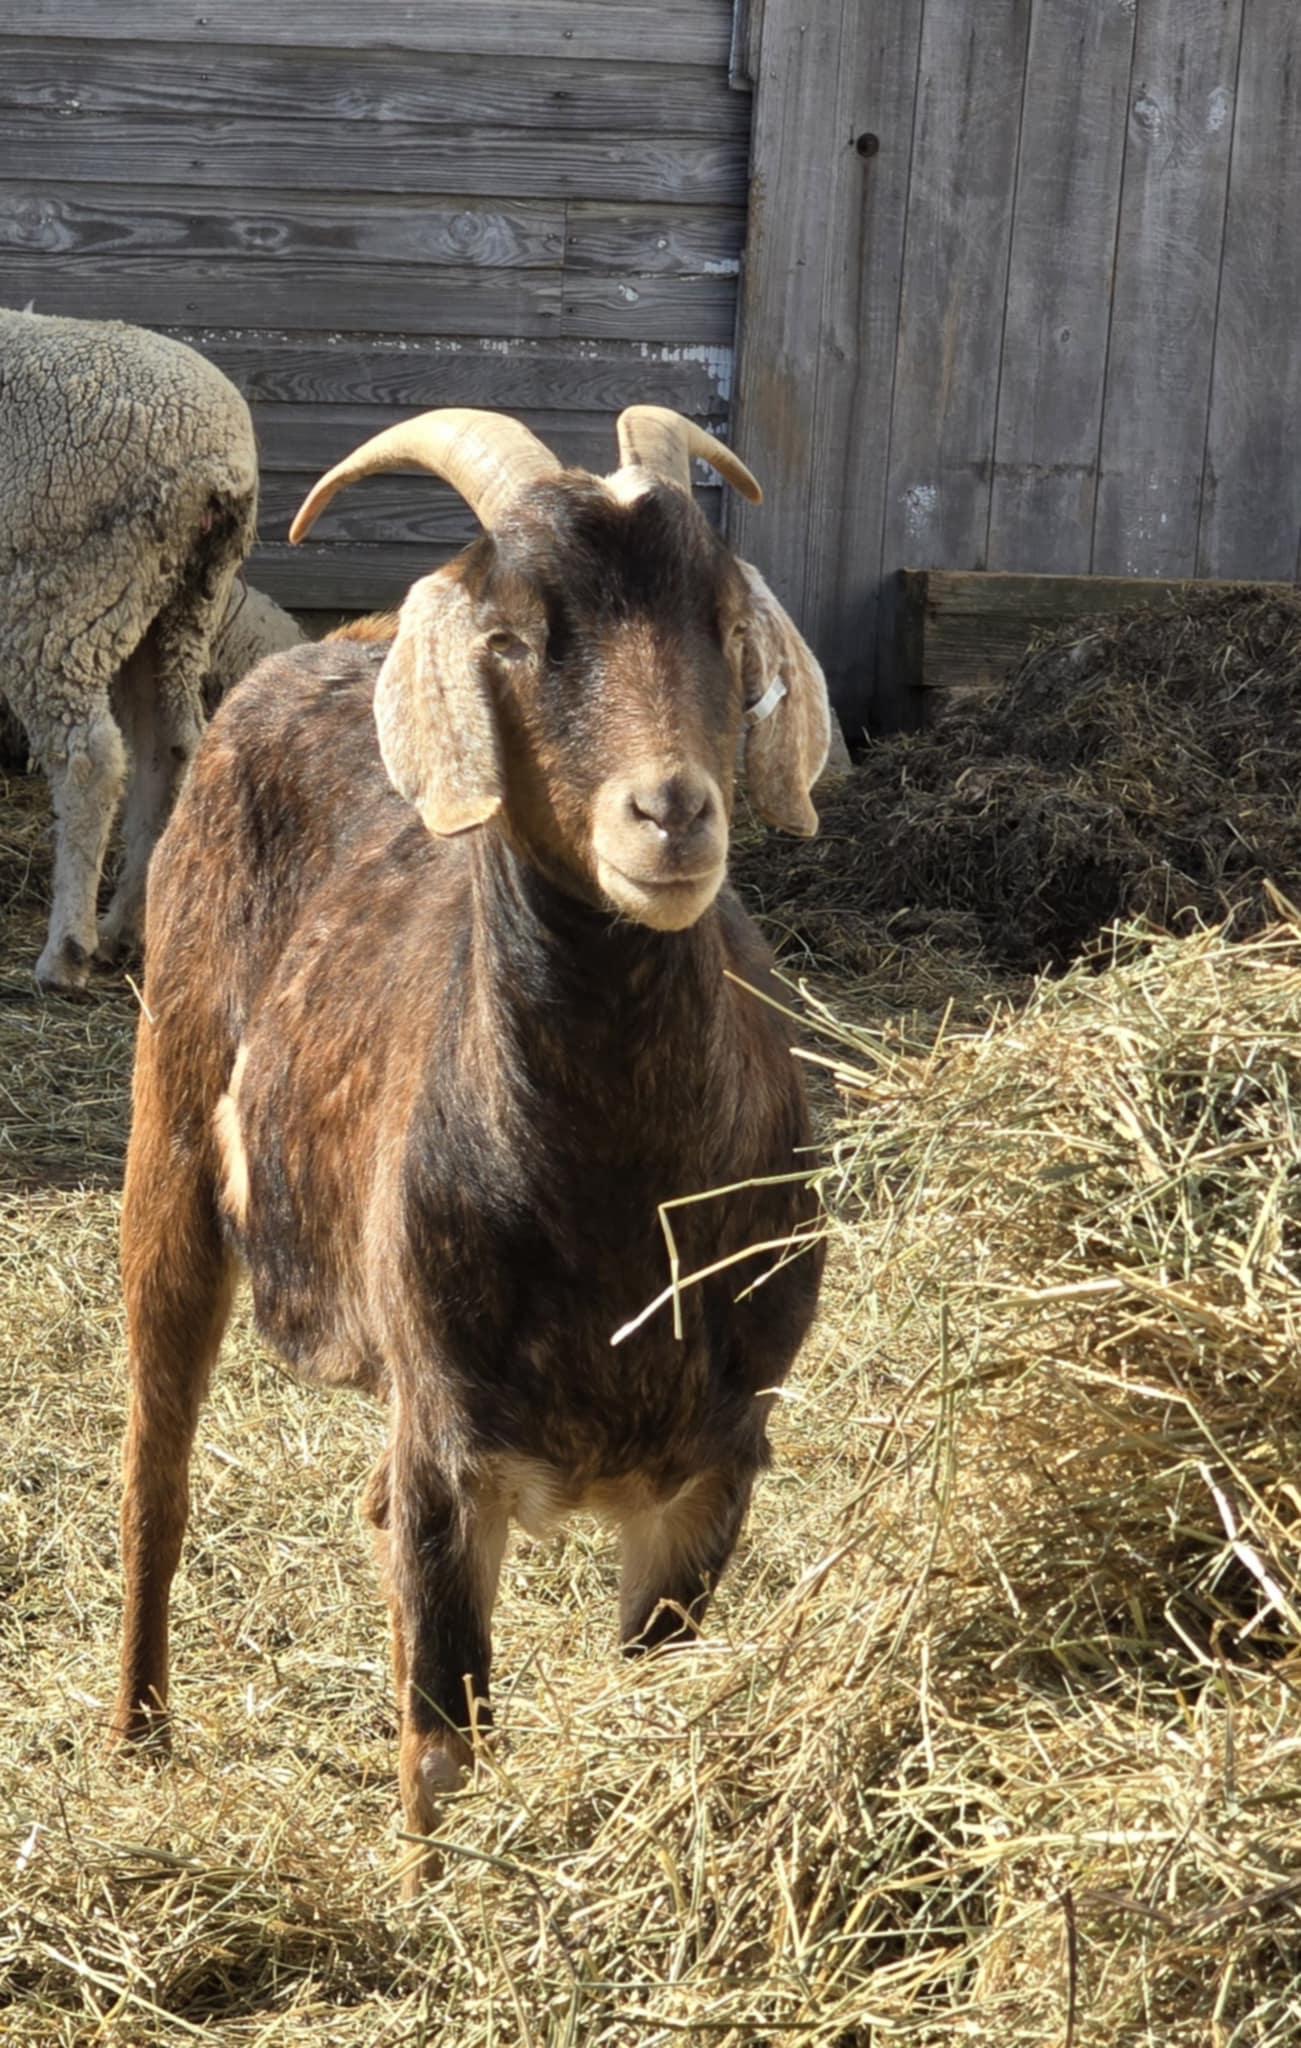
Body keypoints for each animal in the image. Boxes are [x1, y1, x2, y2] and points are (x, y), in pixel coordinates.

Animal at [113, 406, 829, 1892]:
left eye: (720, 623)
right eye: (511, 639)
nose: (669, 813)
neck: (616, 1205)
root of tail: (327, 642)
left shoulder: (716, 1461)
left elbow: (647, 1685)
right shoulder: (451, 1443)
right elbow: (441, 1737)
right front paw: (434, 1899)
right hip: (172, 1109)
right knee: (156, 1456)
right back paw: (134, 1735)